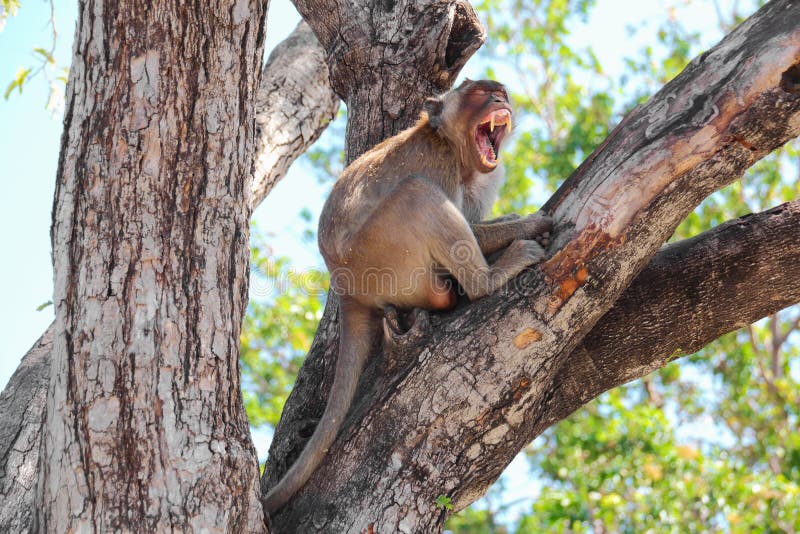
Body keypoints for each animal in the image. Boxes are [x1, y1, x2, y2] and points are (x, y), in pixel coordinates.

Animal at [263, 79, 552, 513]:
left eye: (499, 92)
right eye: (478, 94)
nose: (498, 100)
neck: (456, 150)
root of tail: (344, 285)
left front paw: (512, 219)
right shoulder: (438, 164)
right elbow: (470, 226)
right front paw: (529, 223)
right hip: (381, 253)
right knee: (416, 194)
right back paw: (486, 280)